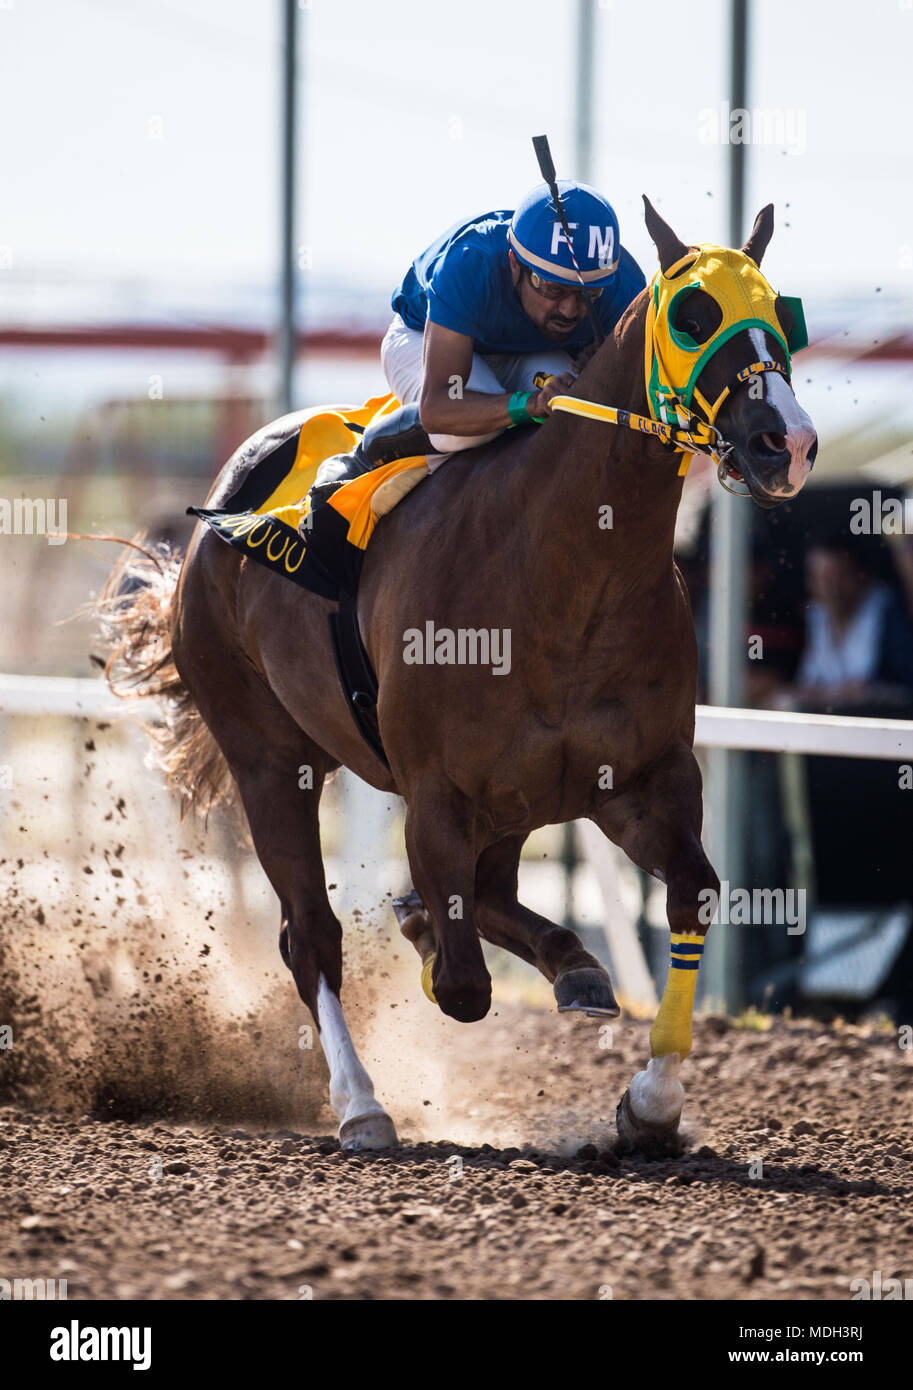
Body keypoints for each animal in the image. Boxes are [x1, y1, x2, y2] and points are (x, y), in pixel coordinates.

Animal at [100, 198, 817, 1152]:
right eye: (693, 314)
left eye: (780, 313)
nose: (787, 442)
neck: (566, 570)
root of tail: (215, 512)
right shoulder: (437, 794)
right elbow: (463, 986)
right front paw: (429, 942)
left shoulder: (640, 779)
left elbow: (694, 895)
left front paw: (650, 1103)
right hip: (267, 760)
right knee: (311, 934)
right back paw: (362, 1103)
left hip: (512, 797)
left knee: (489, 890)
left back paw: (566, 966)